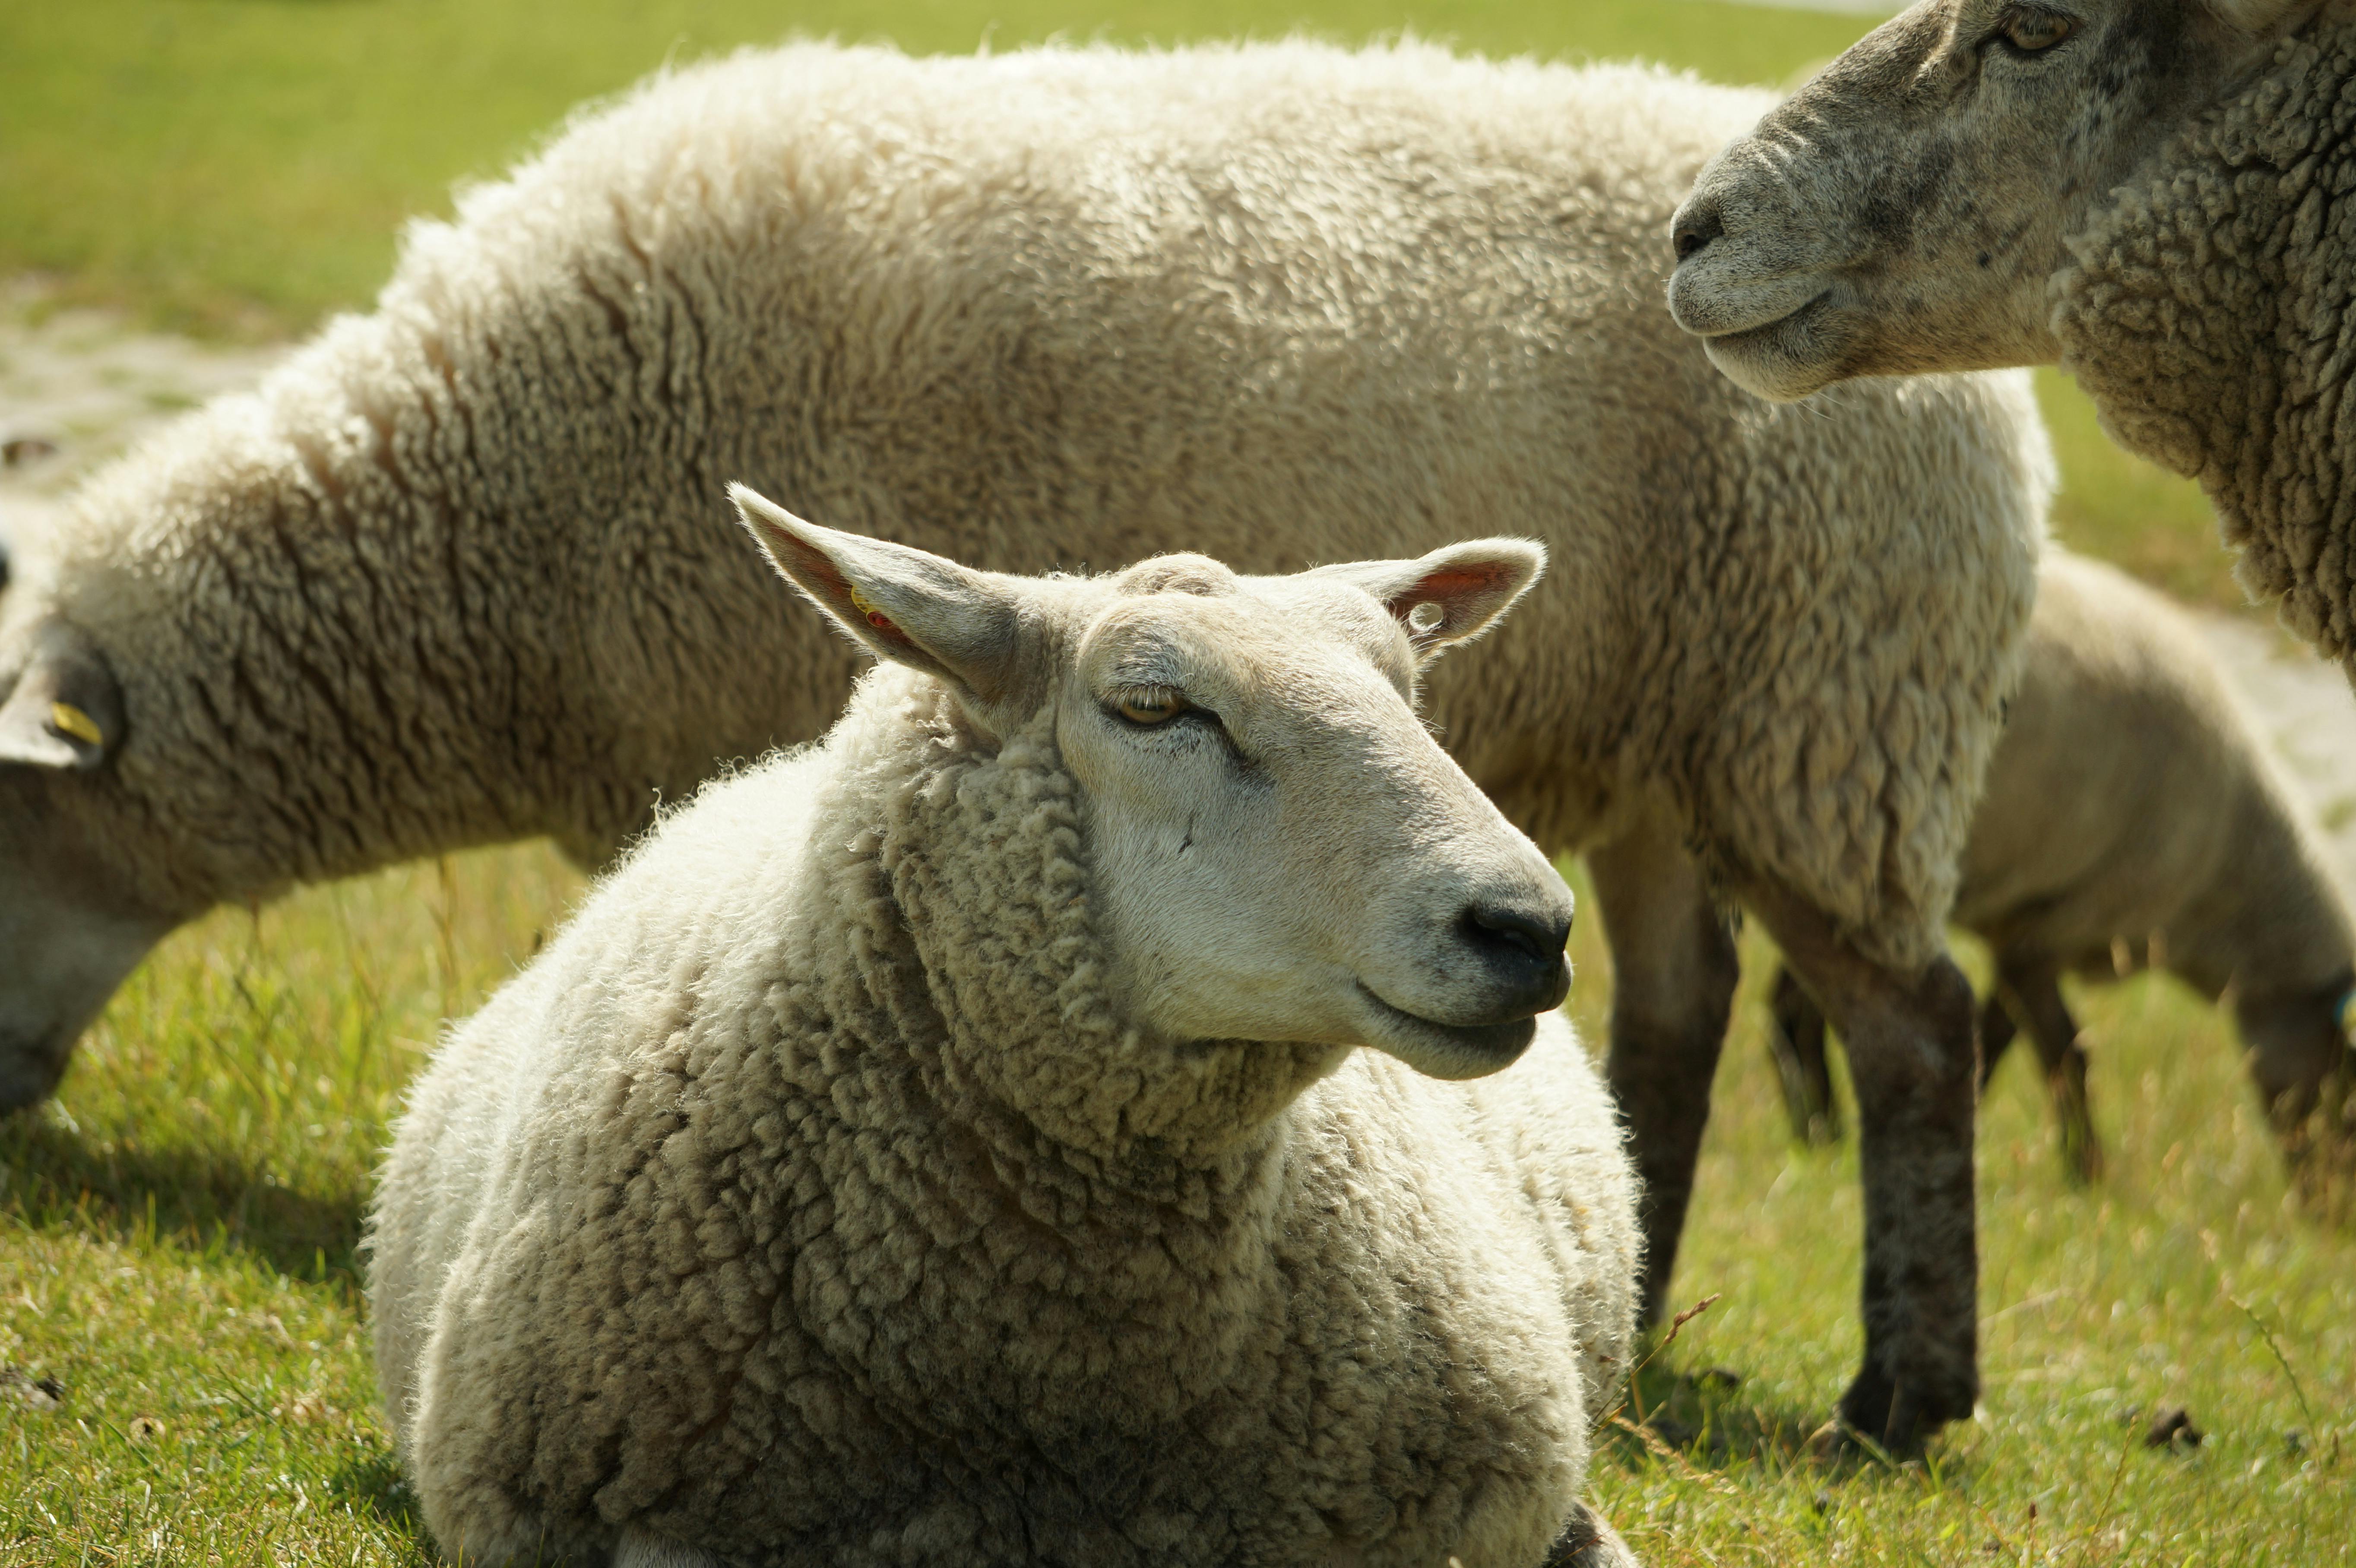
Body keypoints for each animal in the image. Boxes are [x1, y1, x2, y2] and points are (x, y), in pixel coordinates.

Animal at [0, 41, 2052, 1449]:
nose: (9, 1115)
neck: (478, 529)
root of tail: (1998, 413)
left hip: (1833, 712)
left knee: (1911, 1027)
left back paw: (1903, 1395)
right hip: (1666, 742)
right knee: (1679, 1016)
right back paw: (1644, 1297)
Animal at [1765, 551, 2356, 1189]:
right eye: (2346, 1092)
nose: (2328, 1208)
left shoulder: (2026, 931)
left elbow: (1998, 1039)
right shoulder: (2053, 926)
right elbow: (2062, 1053)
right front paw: (2086, 1178)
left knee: (1795, 1003)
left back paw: (1818, 1139)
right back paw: (1818, 1135)